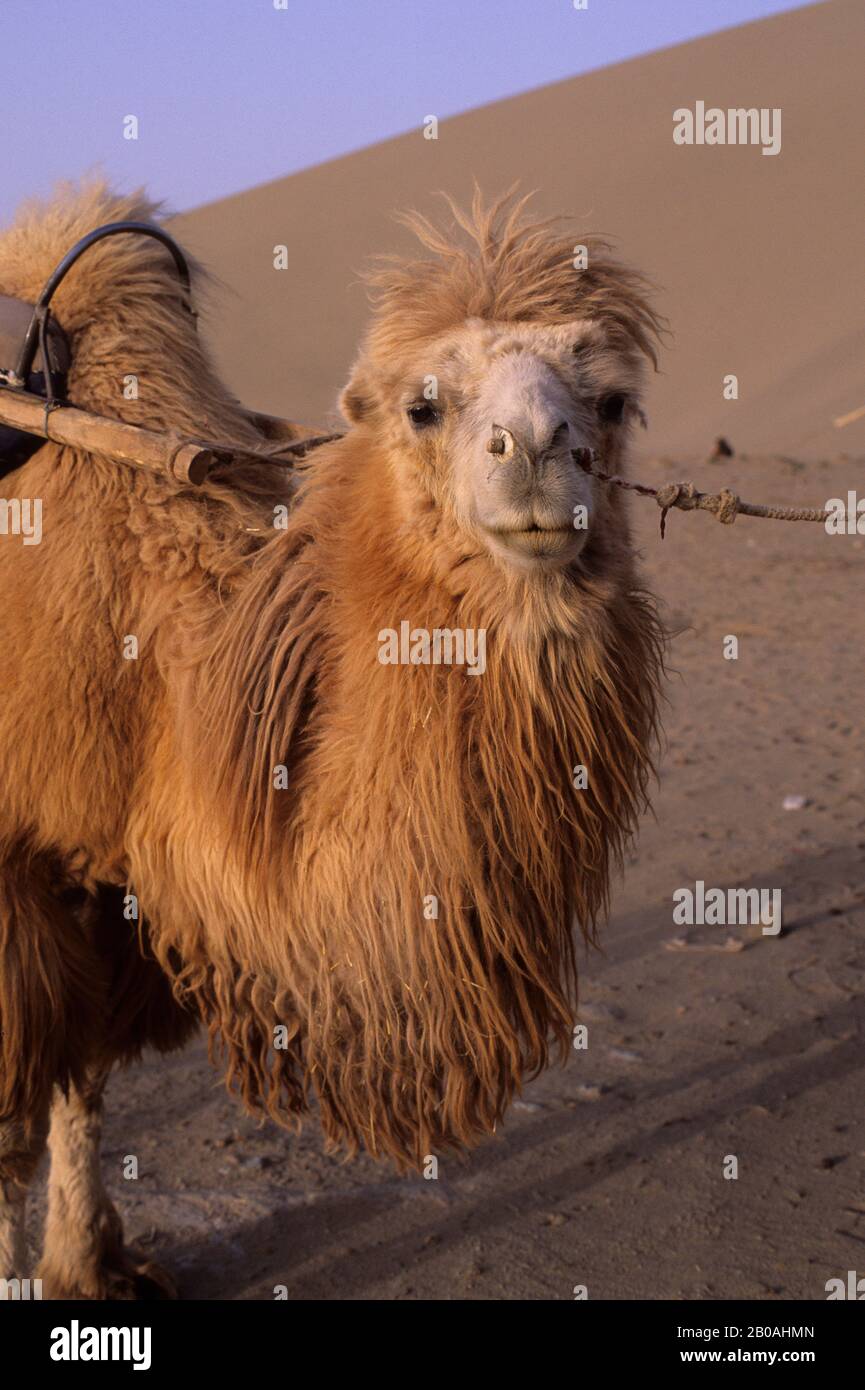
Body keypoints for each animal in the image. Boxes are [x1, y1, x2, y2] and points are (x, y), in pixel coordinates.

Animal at [0, 183, 664, 1299]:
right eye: (422, 404)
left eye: (610, 401)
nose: (536, 451)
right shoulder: (17, 864)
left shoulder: (110, 883)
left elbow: (79, 1083)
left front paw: (89, 1266)